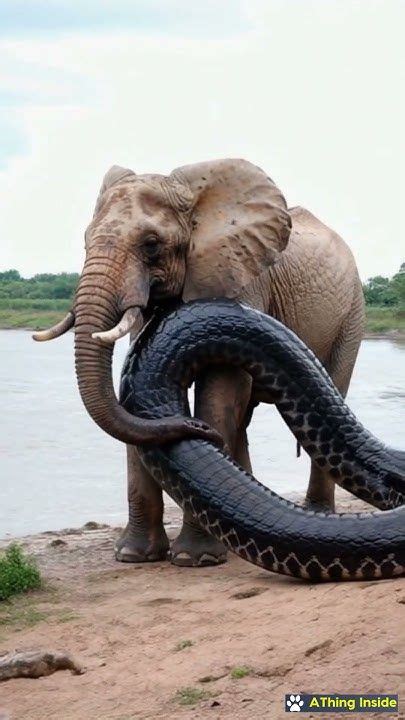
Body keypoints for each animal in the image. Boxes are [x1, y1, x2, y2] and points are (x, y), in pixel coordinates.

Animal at [34, 158, 365, 567]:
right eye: (85, 239)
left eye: (151, 244)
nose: (197, 430)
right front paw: (133, 556)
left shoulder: (241, 276)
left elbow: (221, 385)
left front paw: (196, 558)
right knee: (244, 417)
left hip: (351, 315)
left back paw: (311, 514)